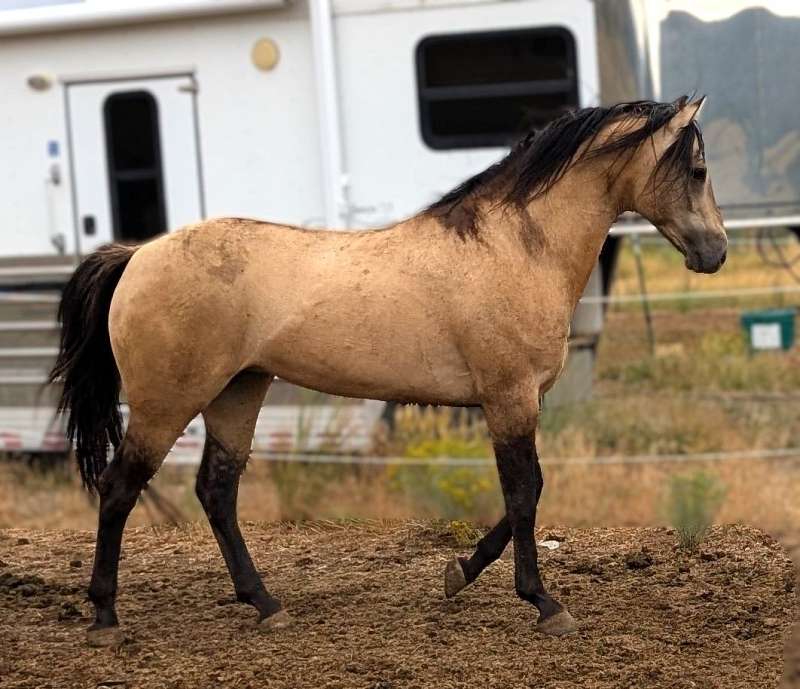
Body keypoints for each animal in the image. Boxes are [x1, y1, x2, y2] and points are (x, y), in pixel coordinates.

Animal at [50, 96, 727, 646]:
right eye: (698, 170)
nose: (715, 251)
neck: (513, 247)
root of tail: (138, 254)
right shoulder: (509, 399)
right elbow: (524, 492)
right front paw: (543, 603)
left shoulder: (516, 401)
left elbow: (522, 496)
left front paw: (459, 574)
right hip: (167, 404)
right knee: (119, 488)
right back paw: (106, 618)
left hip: (237, 393)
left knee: (216, 492)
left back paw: (266, 604)